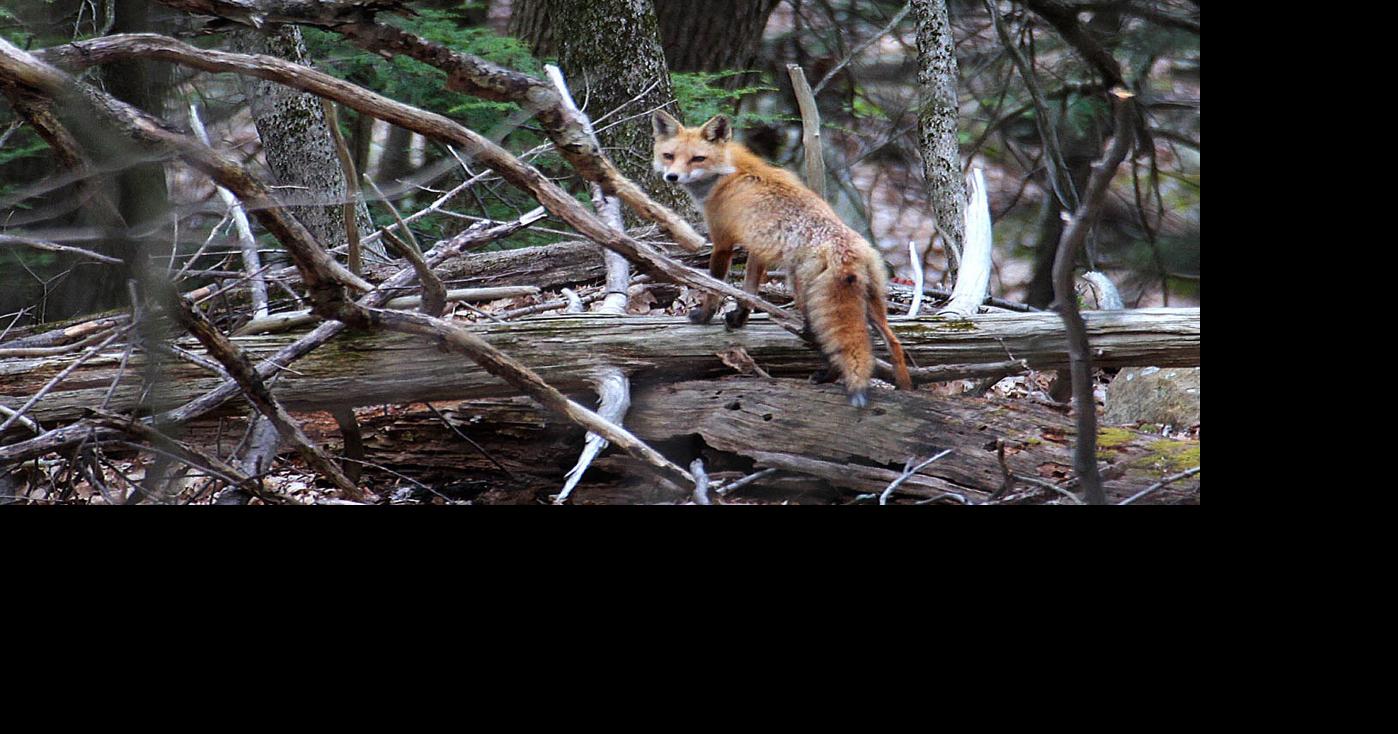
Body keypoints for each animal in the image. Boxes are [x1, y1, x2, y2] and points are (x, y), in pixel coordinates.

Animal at [652, 110, 912, 407]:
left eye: (697, 158)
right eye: (669, 155)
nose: (672, 176)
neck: (728, 173)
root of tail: (846, 250)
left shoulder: (722, 242)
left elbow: (714, 287)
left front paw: (704, 317)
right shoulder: (757, 247)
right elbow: (749, 291)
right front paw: (739, 319)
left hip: (807, 298)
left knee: (830, 343)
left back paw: (827, 377)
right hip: (872, 302)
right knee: (894, 343)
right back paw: (906, 389)